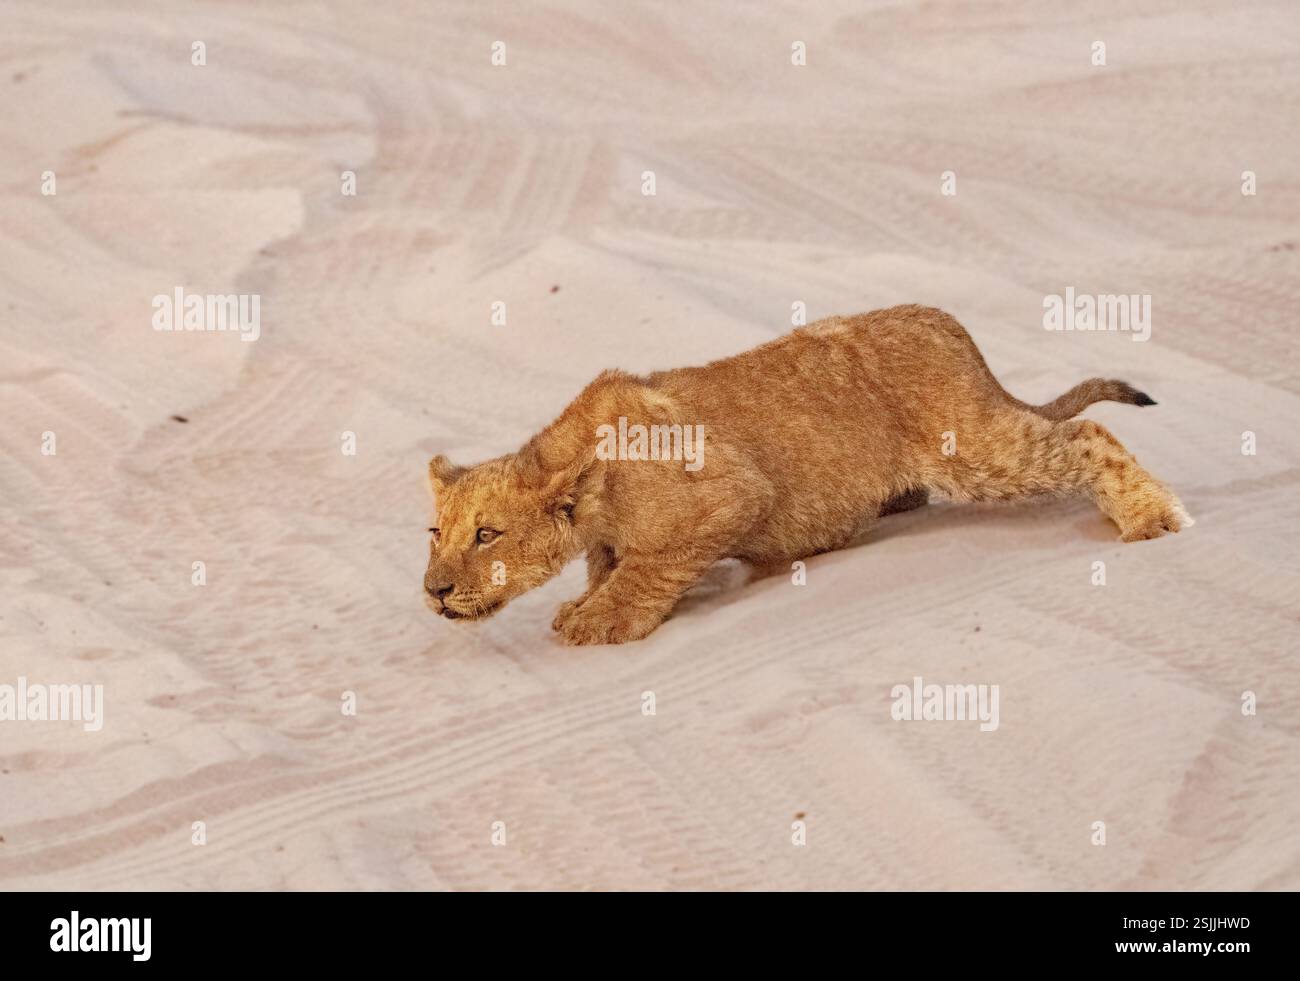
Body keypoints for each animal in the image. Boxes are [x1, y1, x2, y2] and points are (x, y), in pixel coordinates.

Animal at [425, 305, 1190, 645]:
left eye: (487, 534)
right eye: (435, 533)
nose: (434, 591)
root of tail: (949, 325)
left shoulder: (732, 494)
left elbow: (648, 567)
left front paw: (601, 619)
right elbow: (610, 564)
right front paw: (586, 599)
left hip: (975, 449)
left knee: (1086, 436)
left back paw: (1150, 517)